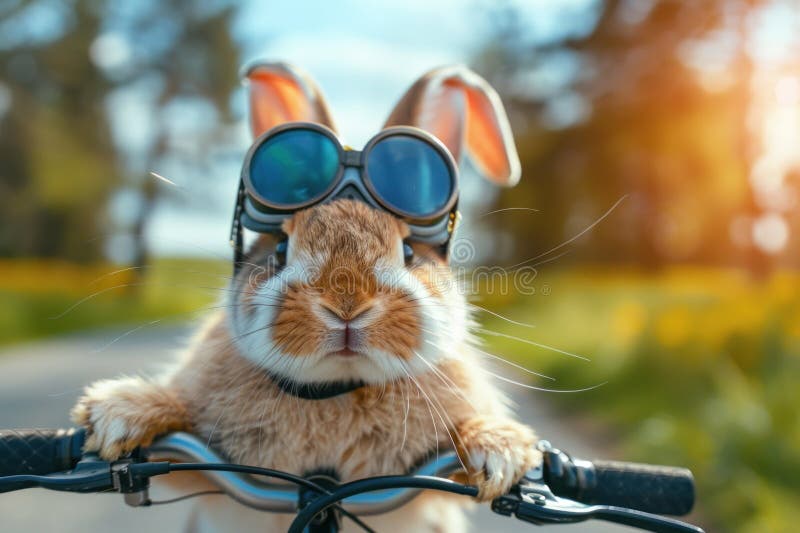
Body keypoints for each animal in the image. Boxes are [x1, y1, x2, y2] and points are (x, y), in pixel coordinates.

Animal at [71, 62, 539, 532]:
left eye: (409, 253)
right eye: (280, 250)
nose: (347, 306)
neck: (338, 388)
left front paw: (501, 449)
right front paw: (118, 415)